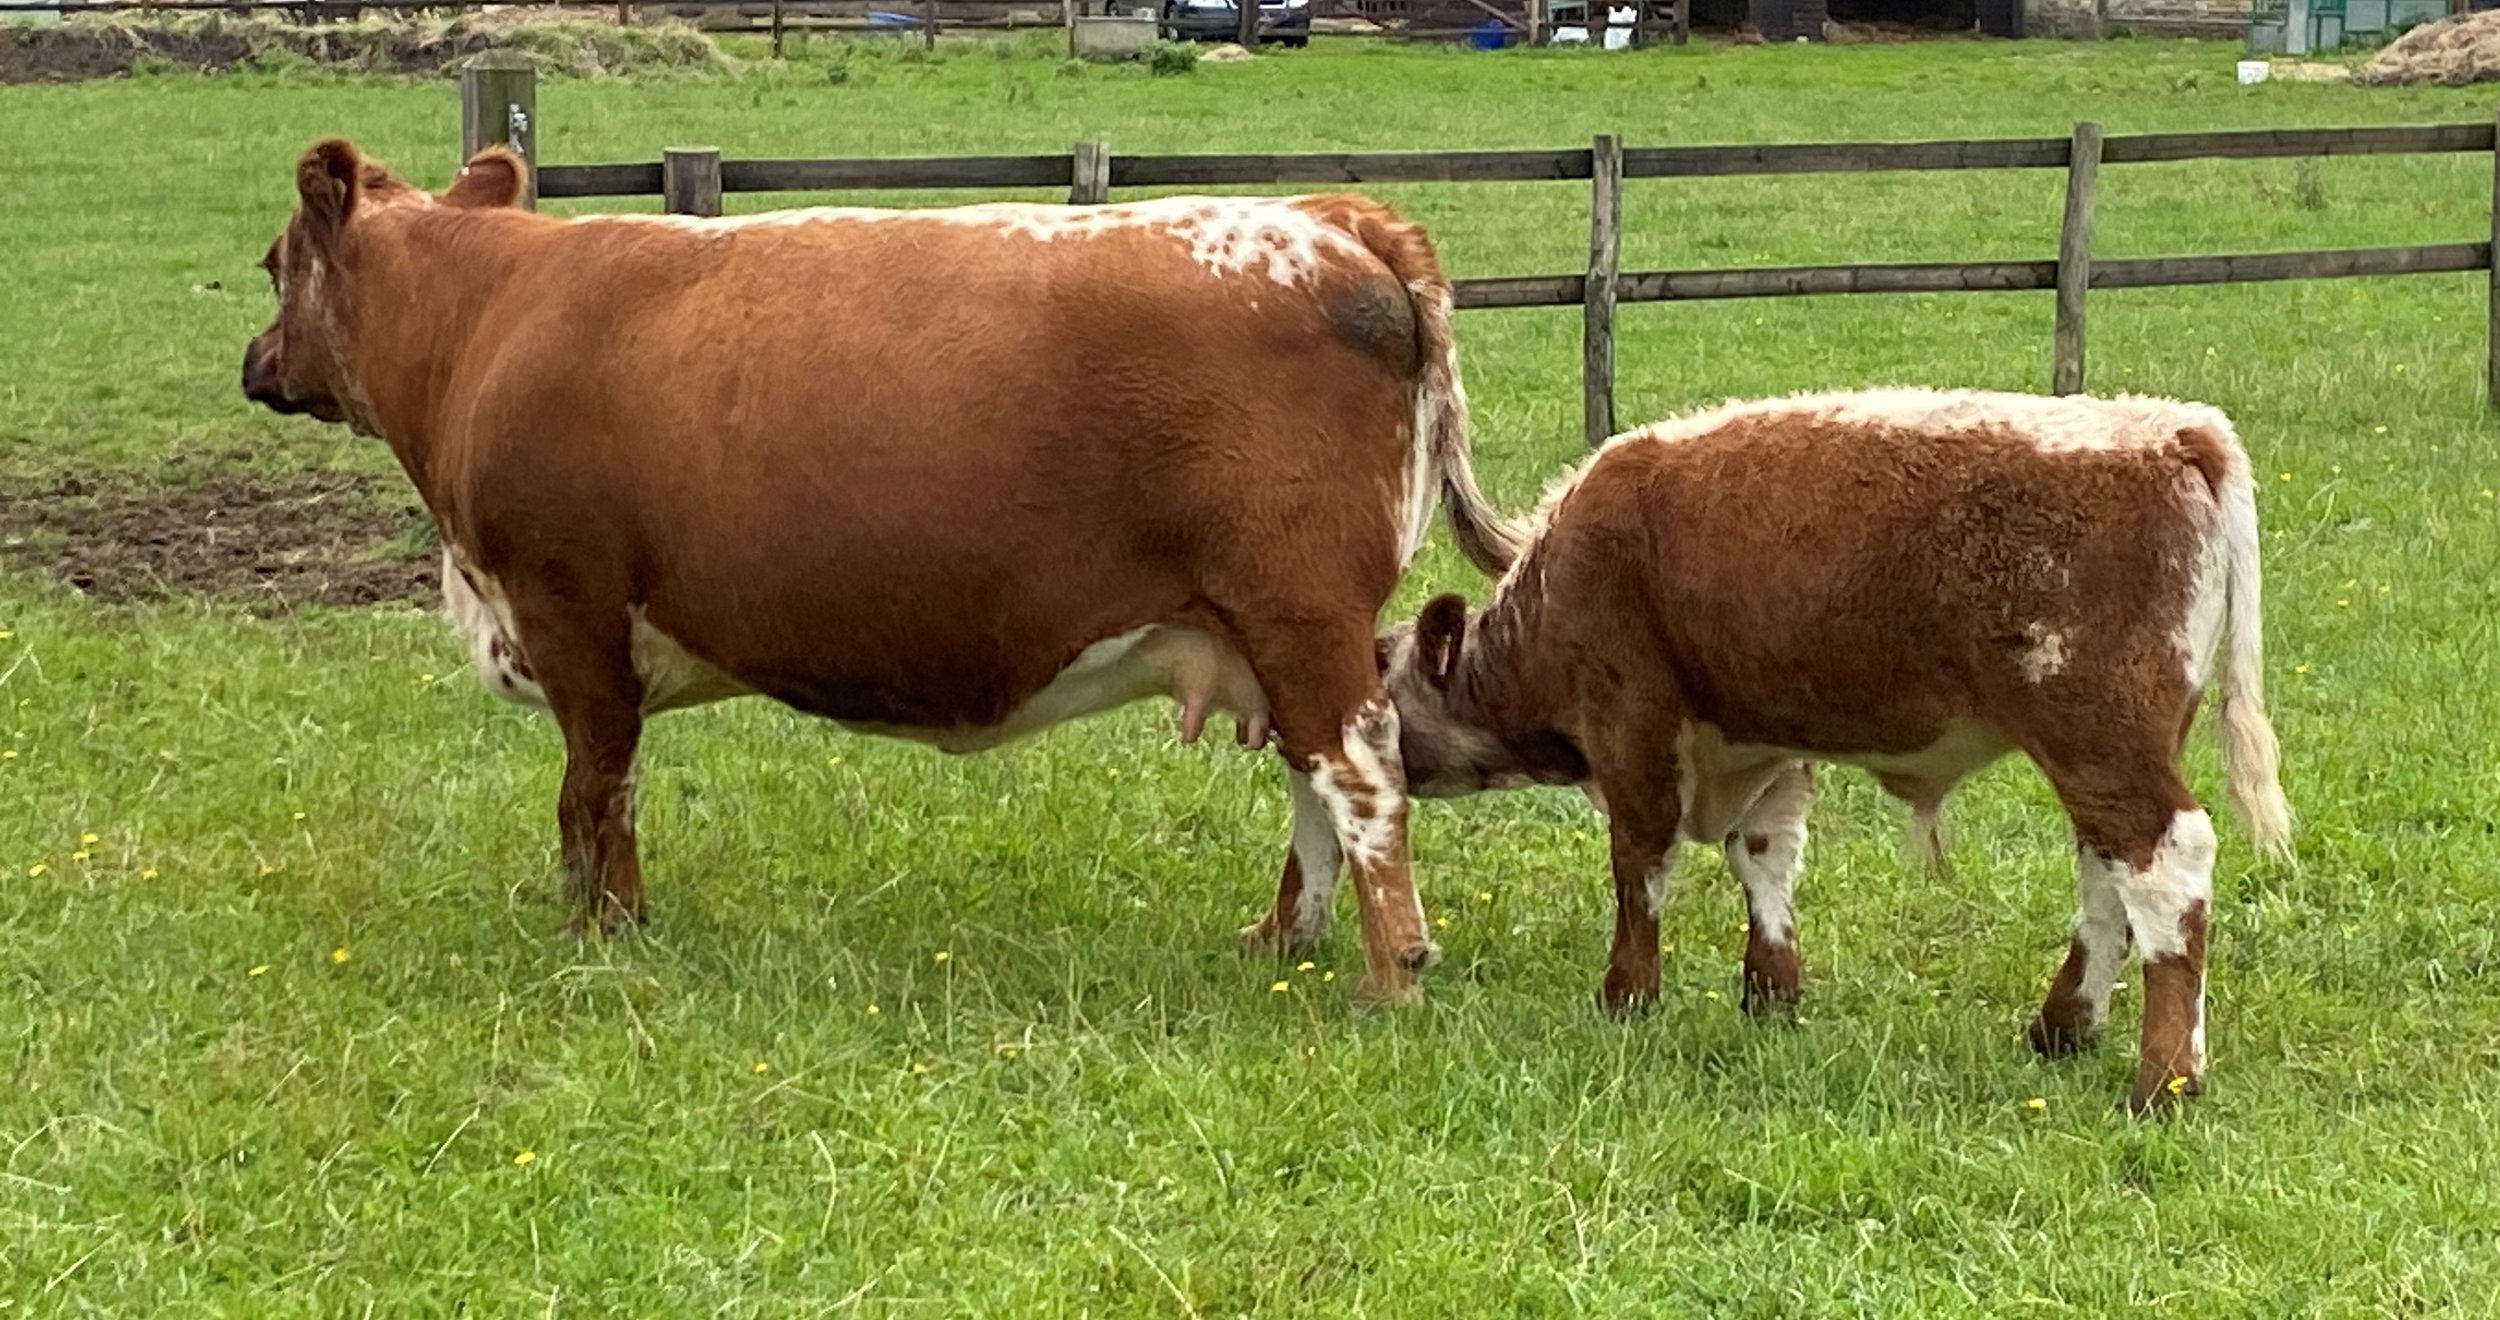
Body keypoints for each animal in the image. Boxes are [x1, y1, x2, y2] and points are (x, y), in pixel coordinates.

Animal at [239, 138, 1527, 1004]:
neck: (490, 317)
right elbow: (586, 791)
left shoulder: (569, 606)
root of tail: (1323, 213)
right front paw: (592, 909)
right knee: (1314, 775)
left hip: (1296, 608)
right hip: (1276, 628)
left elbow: (596, 784)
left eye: (270, 263)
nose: (254, 362)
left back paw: (1390, 973)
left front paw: (603, 928)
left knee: (1357, 773)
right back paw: (1284, 938)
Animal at [1368, 387, 2294, 1112]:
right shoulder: (1760, 736)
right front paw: (1770, 990)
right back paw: (2062, 1025)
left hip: (2103, 741)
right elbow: (1764, 855)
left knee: (2163, 869)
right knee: (2107, 875)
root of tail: (2170, 429)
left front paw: (1626, 996)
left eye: (1382, 680)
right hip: (2108, 753)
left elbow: (1640, 869)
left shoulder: (1630, 727)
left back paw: (2164, 1078)